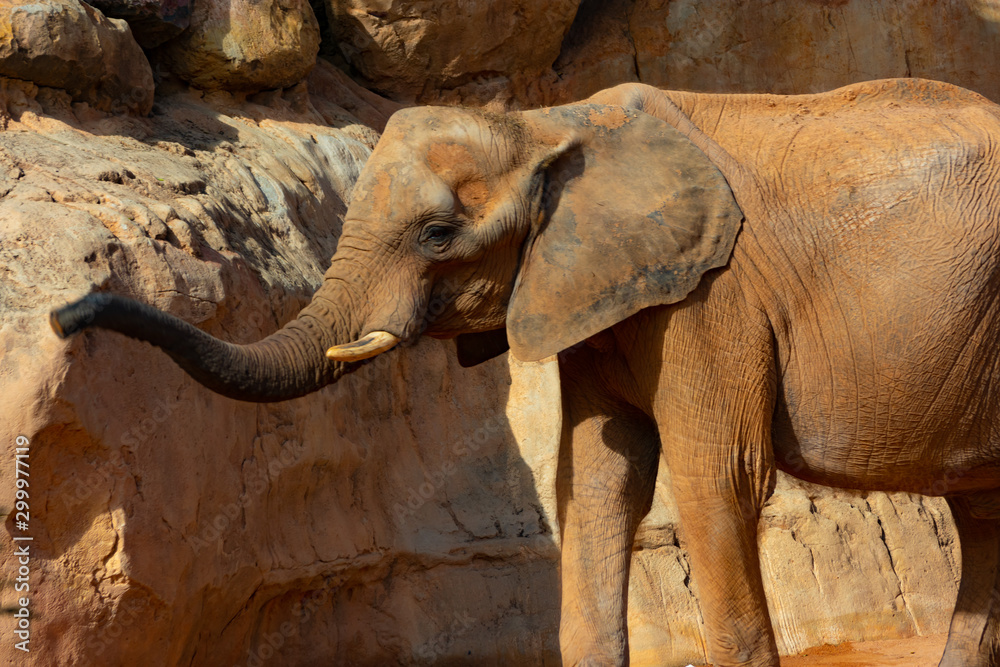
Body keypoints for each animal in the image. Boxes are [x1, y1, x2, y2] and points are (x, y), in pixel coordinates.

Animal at [50, 76, 1000, 666]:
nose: (66, 314)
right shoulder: (598, 289)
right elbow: (598, 475)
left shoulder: (712, 298)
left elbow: (716, 479)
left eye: (437, 235)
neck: (549, 123)